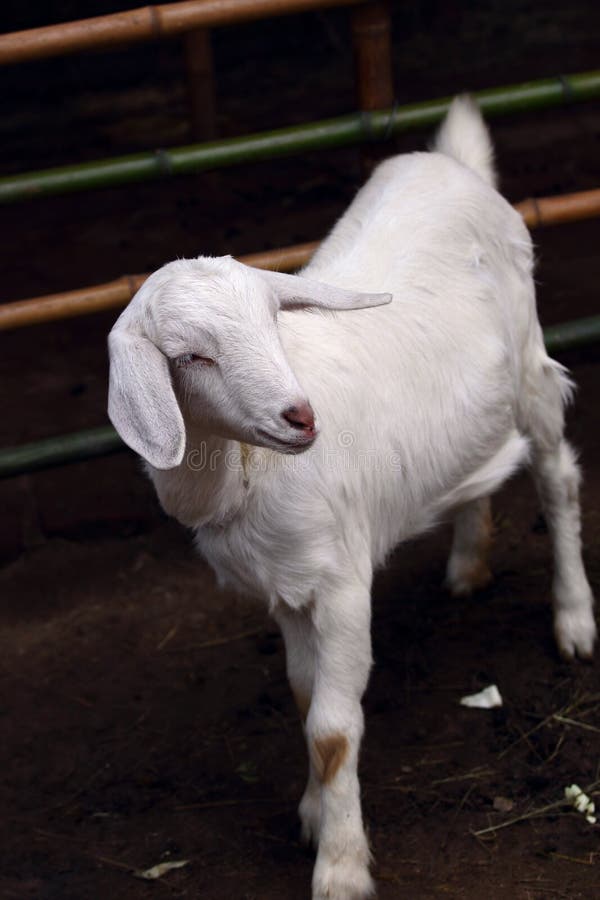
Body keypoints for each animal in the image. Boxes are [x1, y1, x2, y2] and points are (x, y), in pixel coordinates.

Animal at [108, 97, 596, 899]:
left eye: (272, 322)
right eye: (191, 356)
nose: (300, 417)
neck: (245, 474)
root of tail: (450, 163)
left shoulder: (338, 582)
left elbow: (333, 728)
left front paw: (340, 865)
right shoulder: (286, 587)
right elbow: (306, 699)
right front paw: (312, 811)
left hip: (532, 367)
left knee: (558, 481)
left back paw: (575, 619)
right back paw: (469, 561)